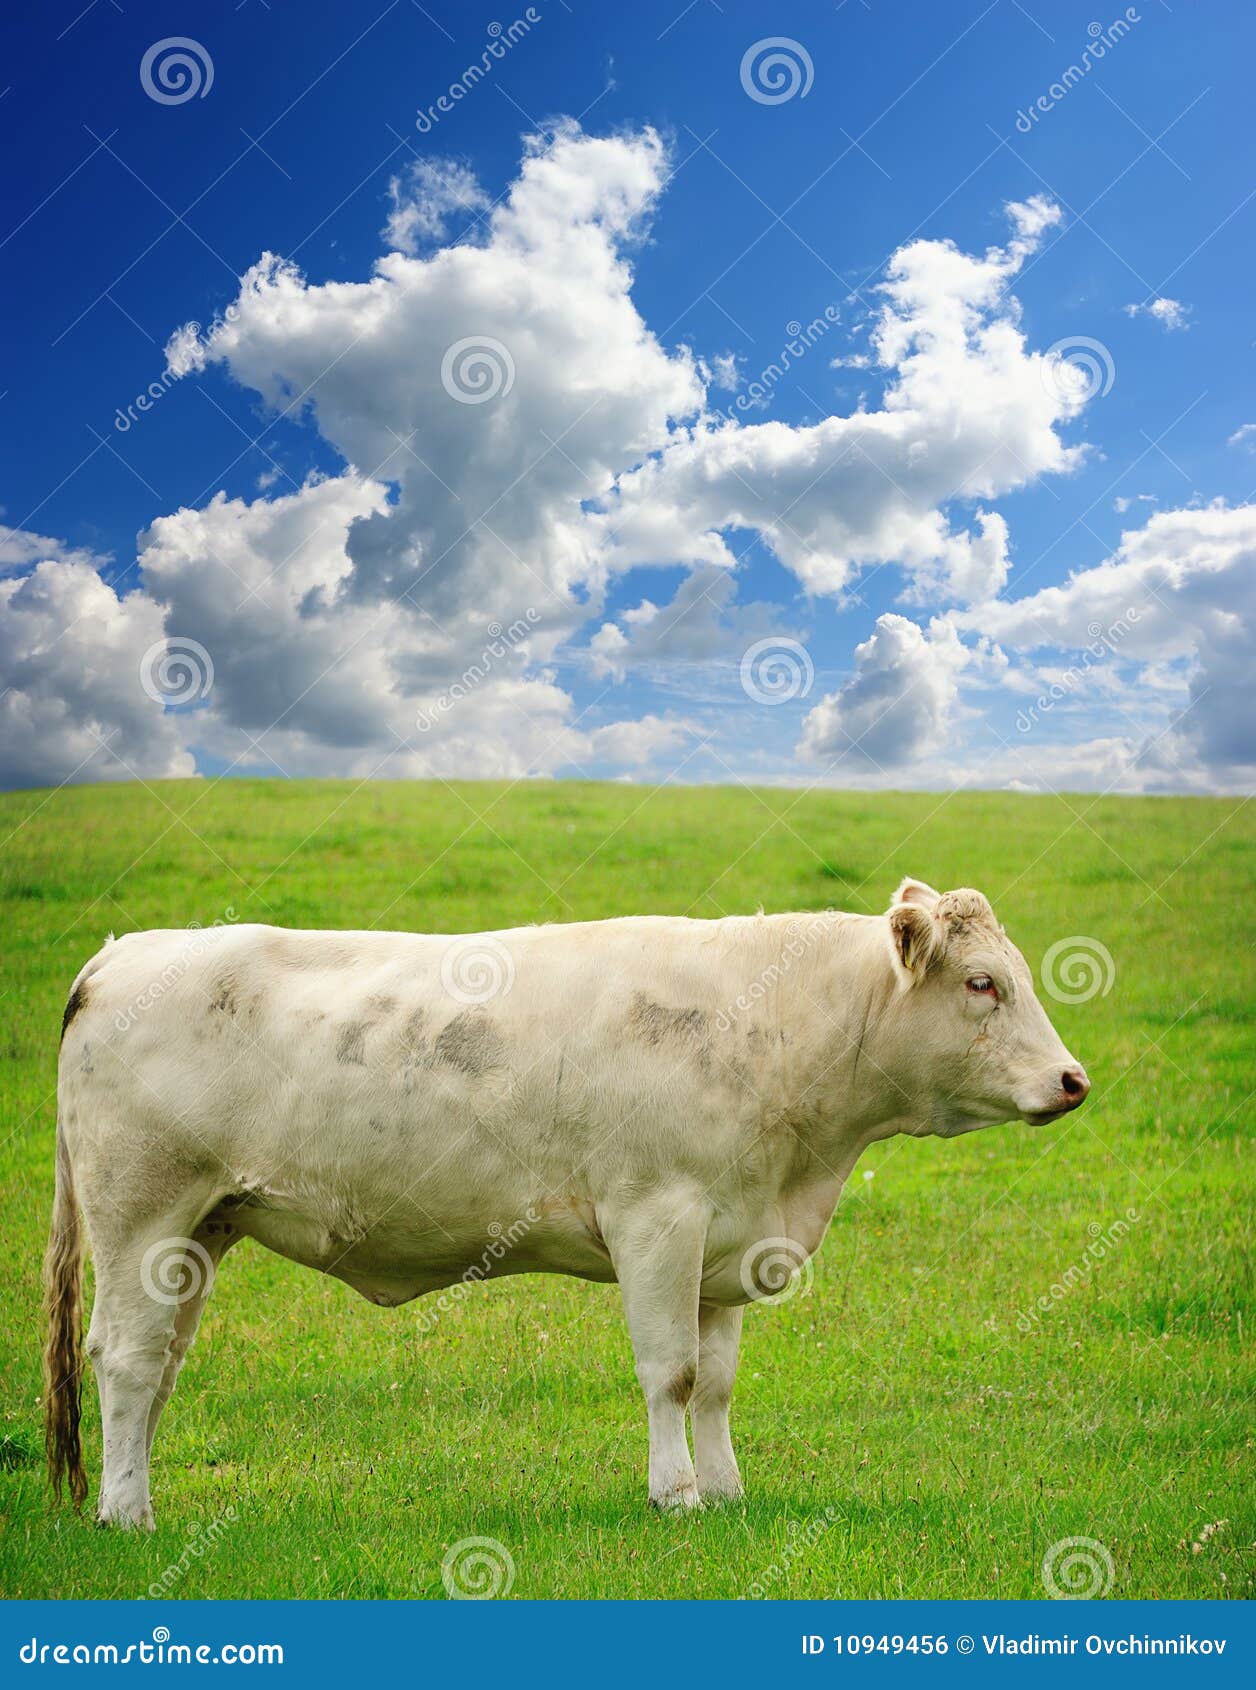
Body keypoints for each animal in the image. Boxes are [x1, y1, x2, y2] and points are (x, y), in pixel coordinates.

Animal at [44, 877, 1088, 1528]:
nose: (1073, 1080)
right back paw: (127, 1513)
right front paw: (676, 1496)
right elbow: (671, 1373)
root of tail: (122, 953)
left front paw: (728, 1491)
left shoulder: (728, 1242)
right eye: (982, 983)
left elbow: (716, 1382)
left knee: (161, 1367)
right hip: (141, 1214)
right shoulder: (657, 1220)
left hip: (200, 1232)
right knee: (126, 1359)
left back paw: (133, 1493)